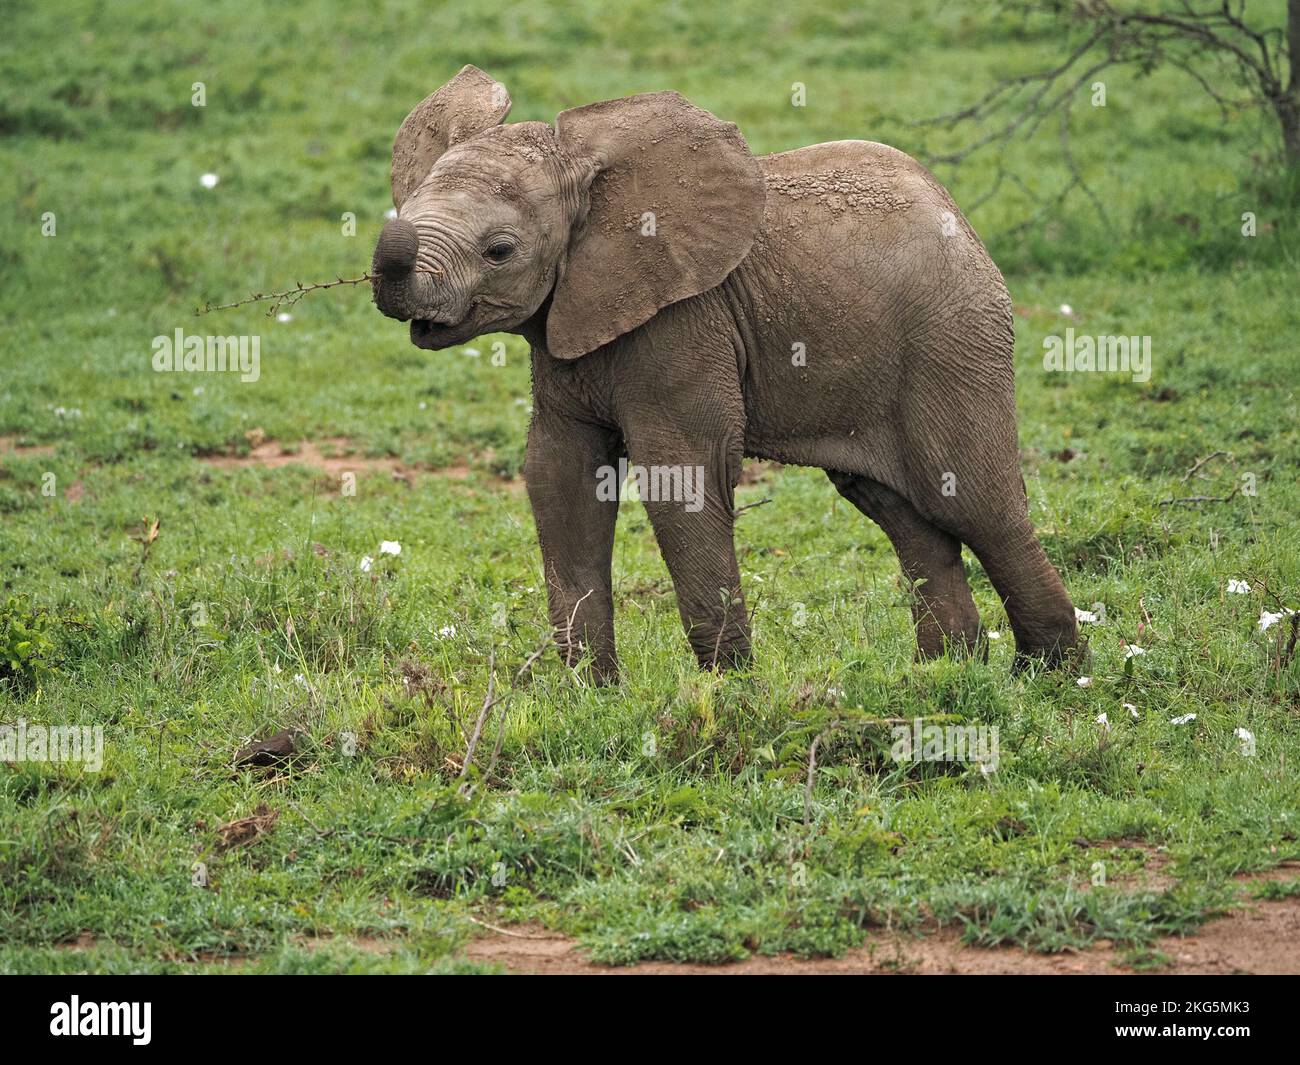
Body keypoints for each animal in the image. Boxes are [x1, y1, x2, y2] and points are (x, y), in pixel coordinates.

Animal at [370, 65, 1078, 681]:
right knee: (899, 510)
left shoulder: (686, 319)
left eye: (500, 250)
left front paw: (729, 692)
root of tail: (957, 214)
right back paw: (943, 676)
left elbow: (681, 474)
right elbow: (558, 476)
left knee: (972, 500)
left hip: (952, 341)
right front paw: (590, 696)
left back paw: (1053, 678)